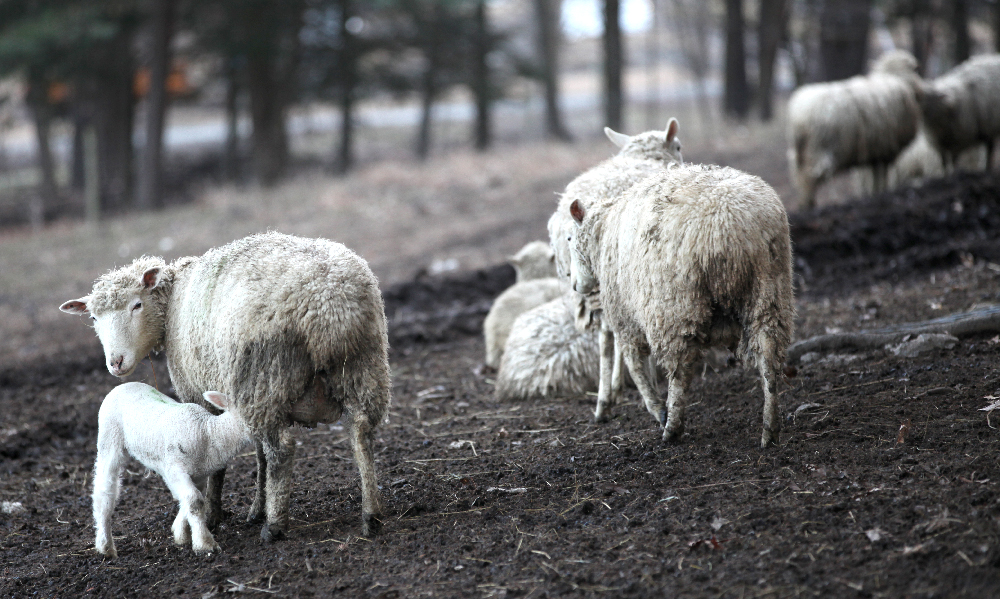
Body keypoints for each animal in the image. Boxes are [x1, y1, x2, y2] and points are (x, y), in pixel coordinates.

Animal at [93, 383, 250, 558]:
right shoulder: (174, 468)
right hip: (109, 435)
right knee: (105, 490)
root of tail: (123, 385)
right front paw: (205, 543)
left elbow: (191, 498)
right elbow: (194, 500)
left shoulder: (199, 475)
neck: (208, 433)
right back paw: (105, 545)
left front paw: (180, 533)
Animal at [566, 164, 794, 448]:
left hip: (675, 305)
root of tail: (729, 228)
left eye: (569, 239)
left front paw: (656, 408)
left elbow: (635, 364)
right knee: (768, 354)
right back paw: (770, 429)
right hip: (769, 289)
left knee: (680, 369)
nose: (575, 284)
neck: (603, 234)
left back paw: (672, 425)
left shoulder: (624, 315)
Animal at [787, 50, 921, 208]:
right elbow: (882, 173)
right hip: (818, 149)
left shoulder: (875, 150)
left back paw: (804, 203)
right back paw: (810, 204)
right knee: (809, 178)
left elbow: (874, 173)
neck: (894, 77)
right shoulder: (885, 148)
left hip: (800, 153)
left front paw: (874, 192)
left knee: (800, 176)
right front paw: (882, 191)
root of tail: (799, 117)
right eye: (914, 70)